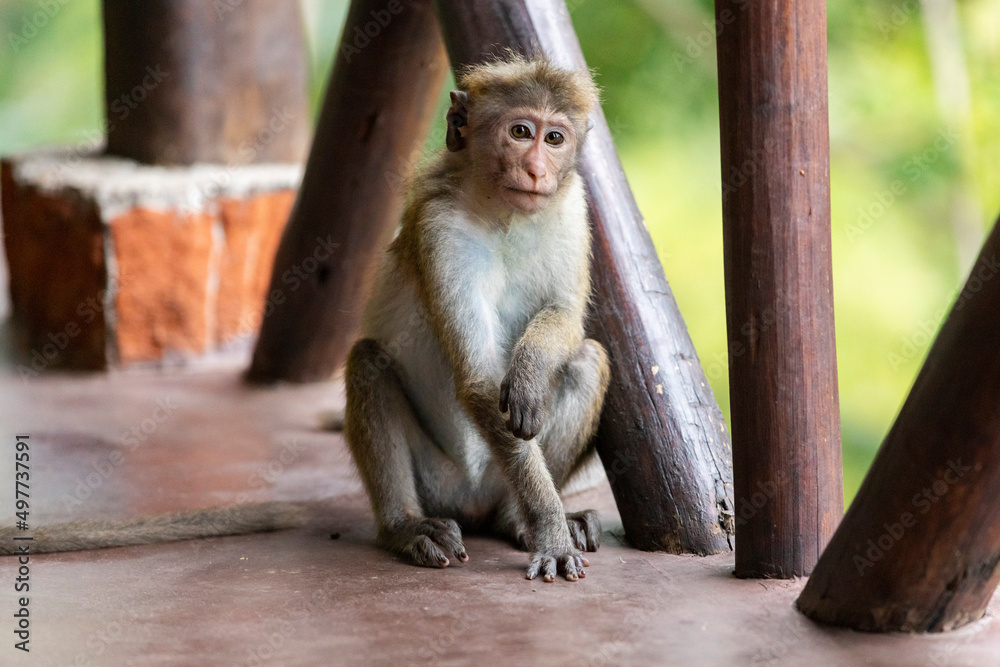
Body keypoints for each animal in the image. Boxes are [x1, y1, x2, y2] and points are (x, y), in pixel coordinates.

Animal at [344, 55, 610, 583]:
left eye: (555, 138)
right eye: (521, 131)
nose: (536, 170)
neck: (506, 214)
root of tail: (476, 501)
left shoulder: (572, 206)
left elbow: (566, 316)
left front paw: (530, 366)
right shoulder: (440, 229)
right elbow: (480, 381)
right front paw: (552, 533)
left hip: (494, 482)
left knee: (587, 361)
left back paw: (515, 520)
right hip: (441, 483)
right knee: (367, 362)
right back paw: (406, 527)